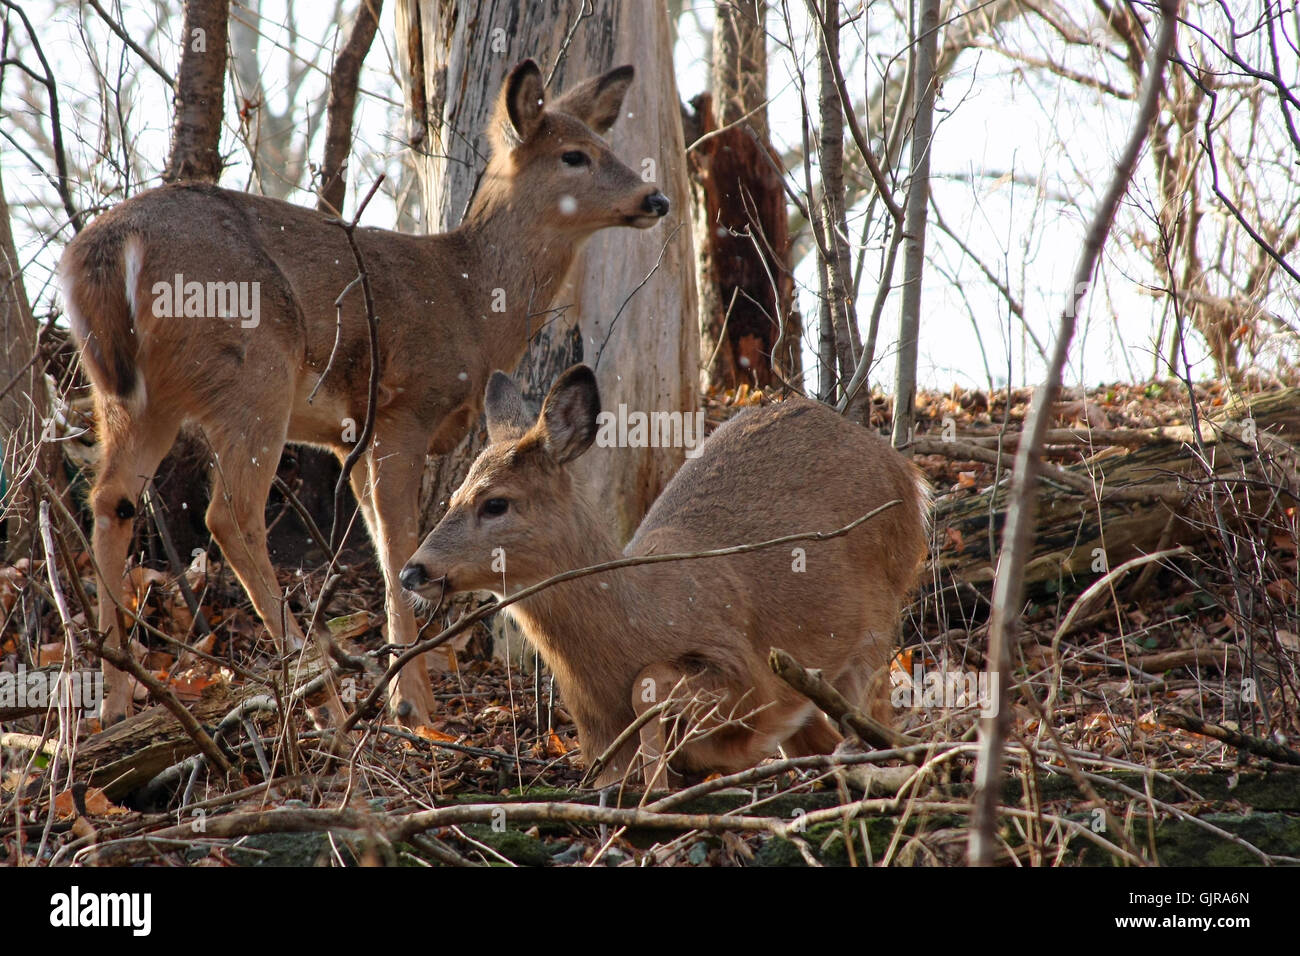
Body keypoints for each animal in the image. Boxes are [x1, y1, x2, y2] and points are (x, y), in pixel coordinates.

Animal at [59, 59, 669, 728]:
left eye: (604, 144)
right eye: (574, 156)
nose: (656, 198)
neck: (471, 303)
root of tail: (102, 250)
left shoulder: (349, 433)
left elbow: (378, 540)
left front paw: (406, 679)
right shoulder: (403, 405)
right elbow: (400, 538)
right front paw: (414, 705)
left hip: (133, 394)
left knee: (112, 500)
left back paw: (117, 698)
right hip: (255, 371)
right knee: (229, 514)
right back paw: (317, 692)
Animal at [399, 365, 929, 787]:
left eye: (495, 503)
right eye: (451, 498)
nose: (412, 571)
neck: (642, 618)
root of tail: (909, 474)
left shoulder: (747, 673)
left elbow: (648, 682)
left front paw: (656, 785)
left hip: (879, 617)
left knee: (876, 719)